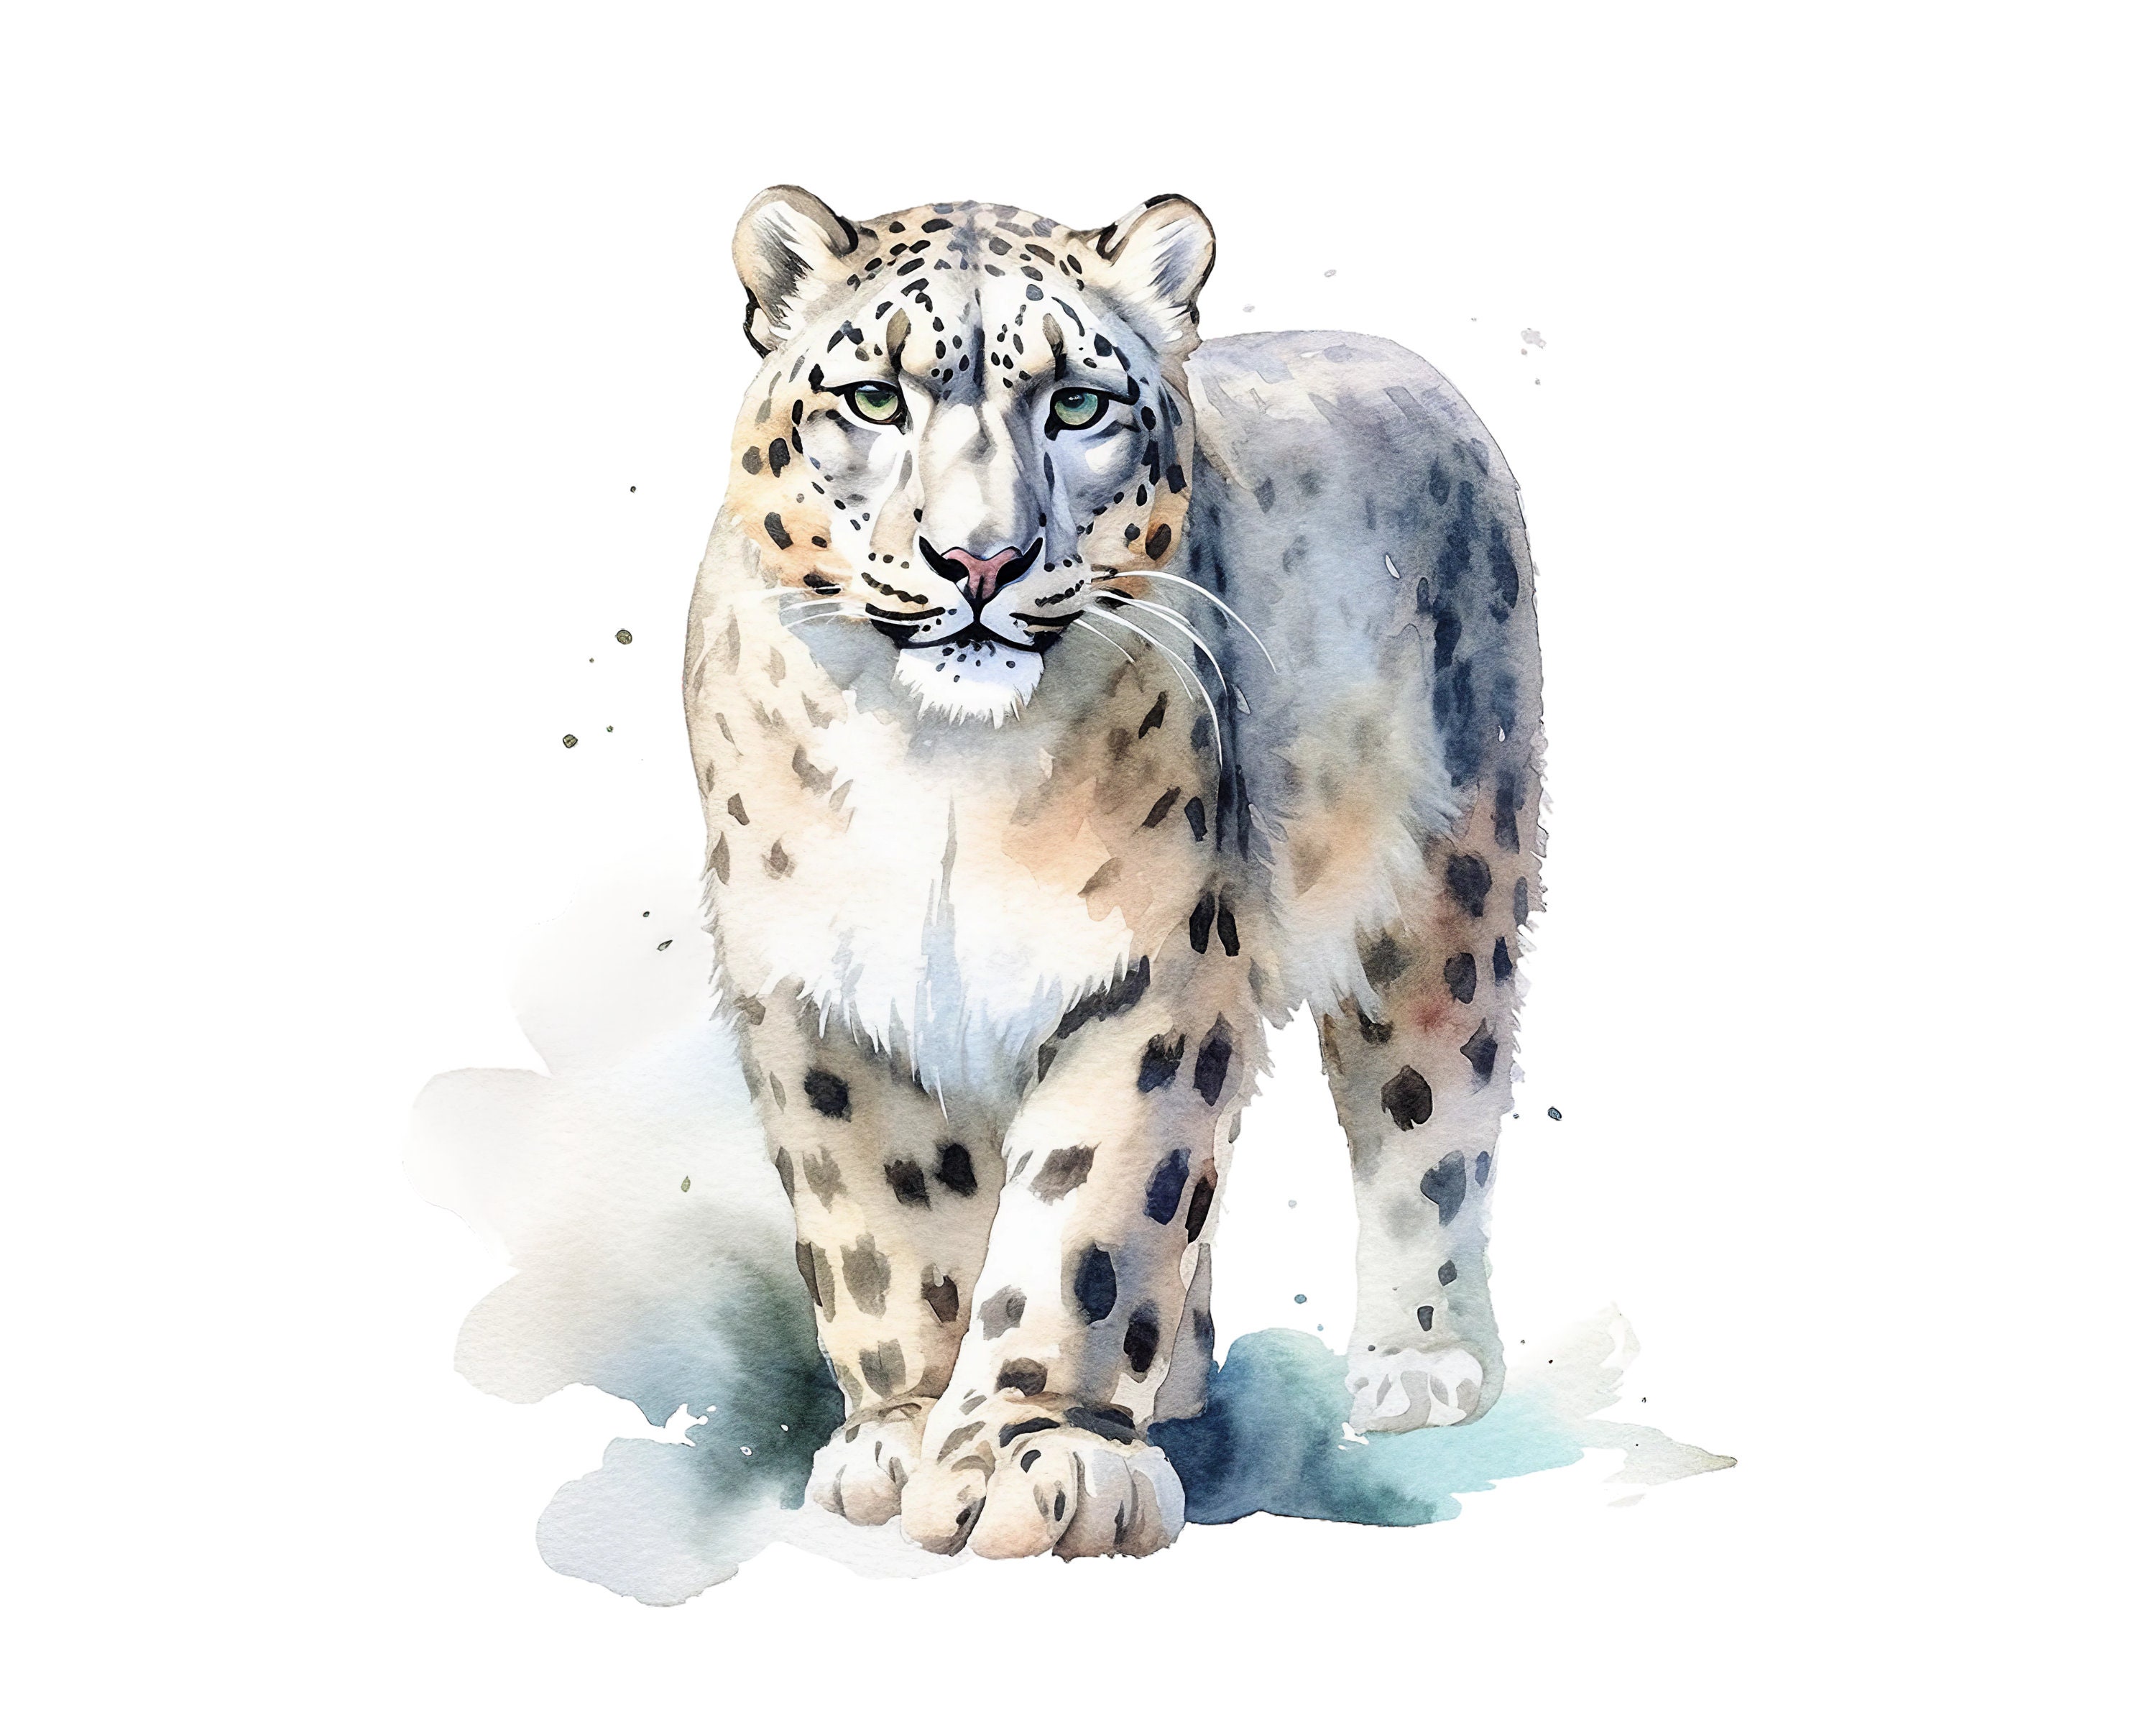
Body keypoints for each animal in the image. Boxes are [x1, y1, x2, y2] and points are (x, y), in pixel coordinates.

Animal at [683, 186, 1544, 1560]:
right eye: (874, 398)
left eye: (1078, 405)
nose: (979, 559)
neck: (940, 766)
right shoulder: (819, 992)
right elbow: (883, 1225)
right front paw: (901, 1431)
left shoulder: (1152, 969)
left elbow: (1092, 1212)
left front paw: (1034, 1452)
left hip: (1451, 889)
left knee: (1430, 1114)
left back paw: (1421, 1361)